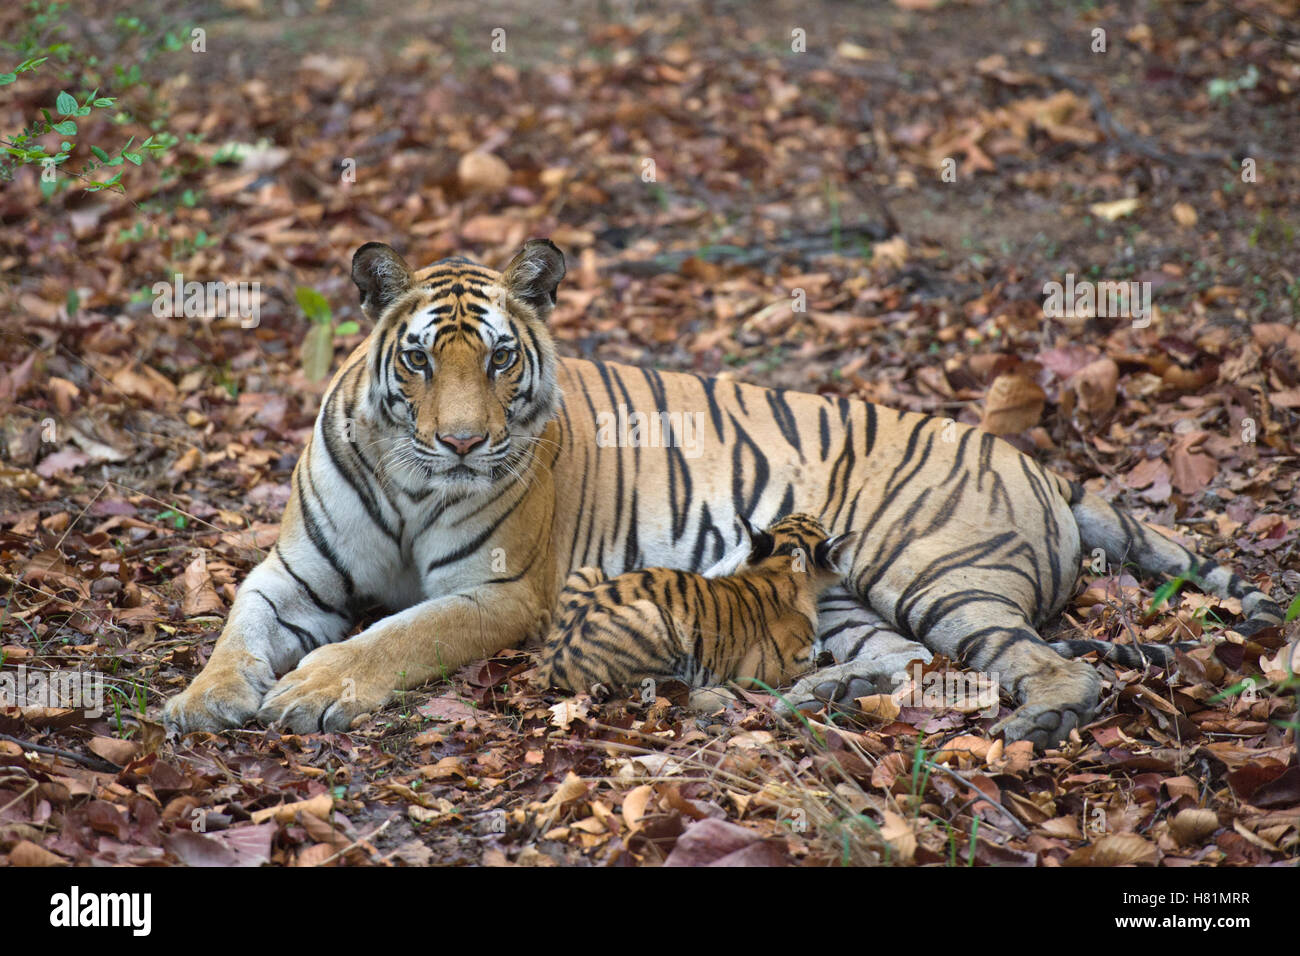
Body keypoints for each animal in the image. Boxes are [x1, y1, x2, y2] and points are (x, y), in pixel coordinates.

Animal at [534, 513, 855, 702]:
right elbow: (814, 655)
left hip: (588, 571)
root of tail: (546, 670)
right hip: (654, 618)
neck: (781, 566)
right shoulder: (767, 669)